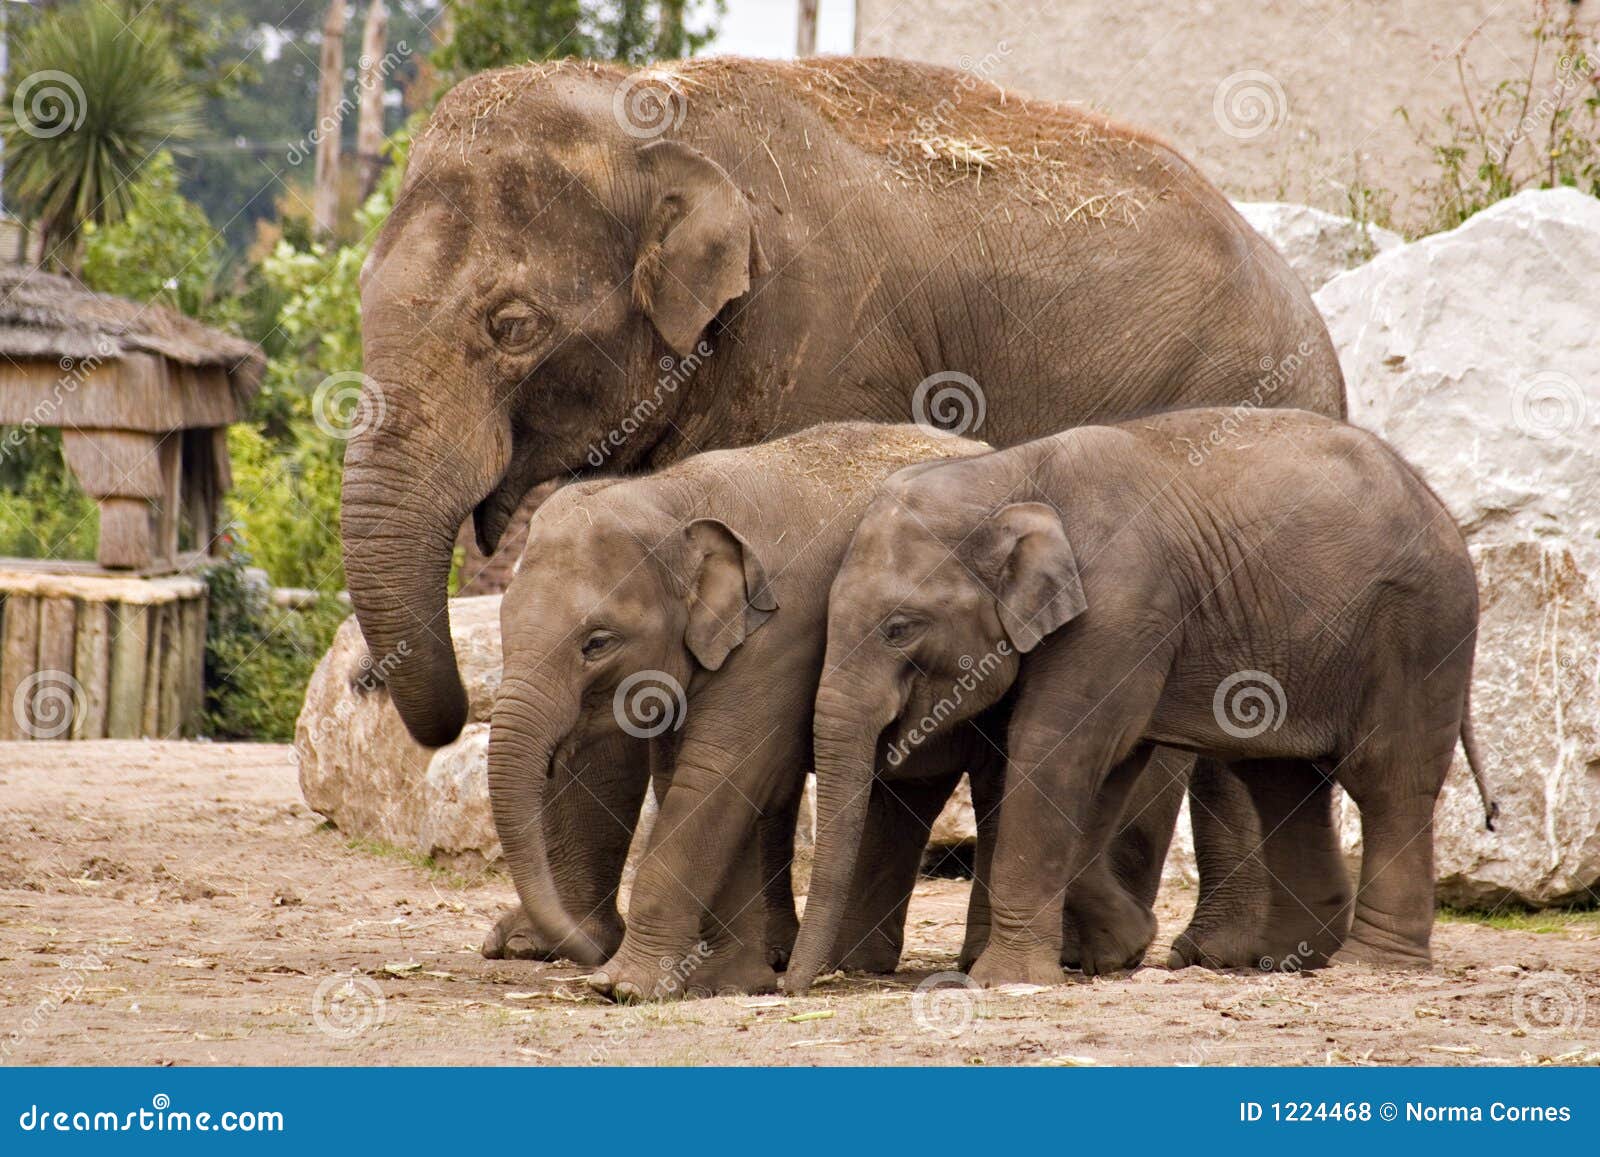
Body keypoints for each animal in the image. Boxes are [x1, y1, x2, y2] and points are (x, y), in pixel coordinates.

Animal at [346, 55, 1347, 967]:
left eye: (511, 326)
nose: (374, 687)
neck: (653, 101)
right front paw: (536, 948)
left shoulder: (827, 334)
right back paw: (1209, 948)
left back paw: (1166, 950)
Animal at [785, 408, 1499, 993]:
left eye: (898, 628)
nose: (792, 988)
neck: (1010, 474)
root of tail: (1440, 505)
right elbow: (1099, 770)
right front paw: (1122, 948)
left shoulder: (1121, 607)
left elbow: (1056, 749)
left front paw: (1004, 980)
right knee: (1283, 783)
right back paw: (1286, 961)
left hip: (1420, 629)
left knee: (1389, 781)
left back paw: (1369, 965)